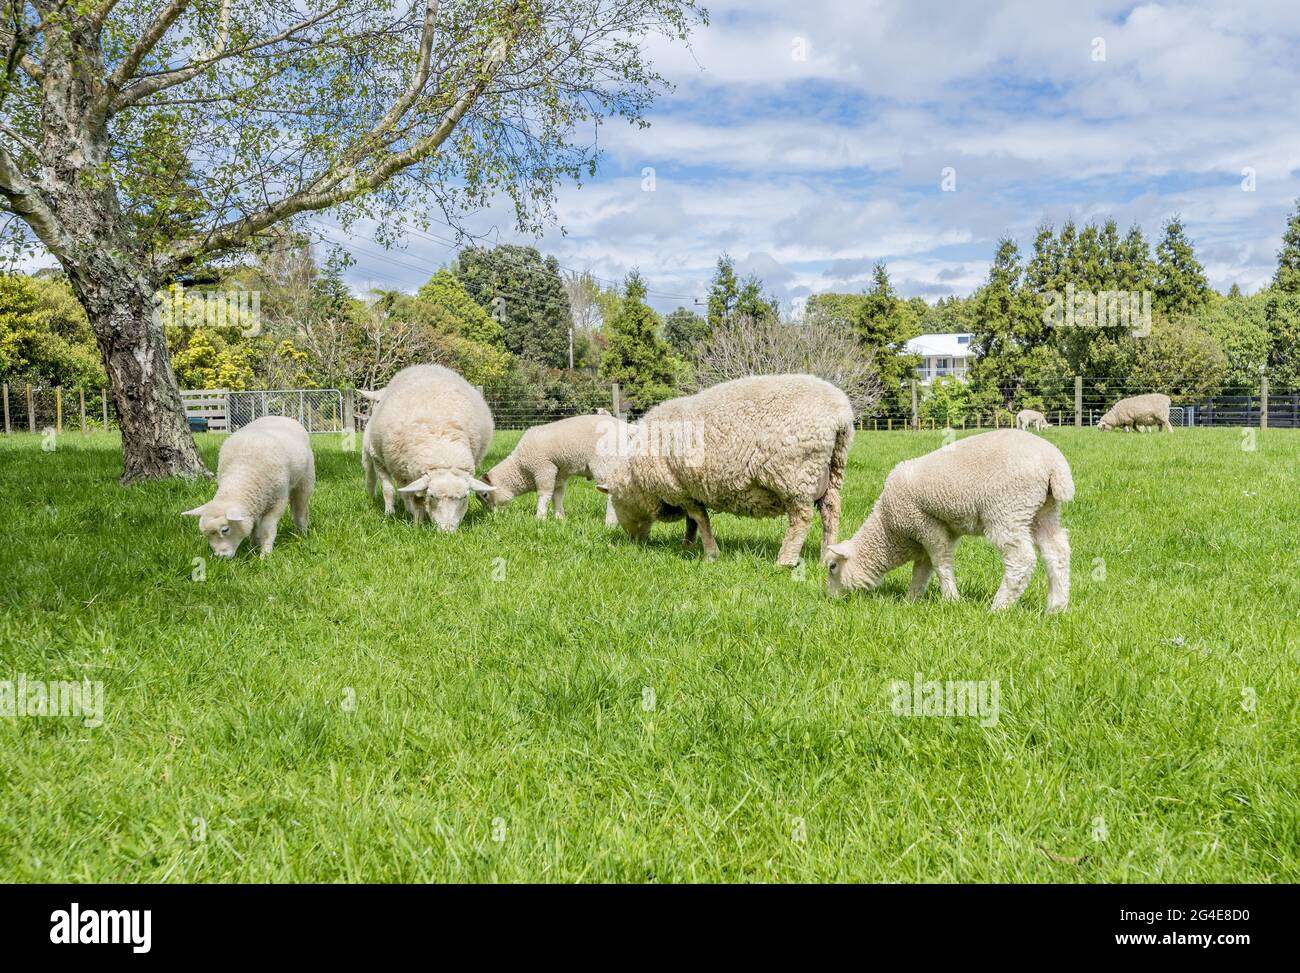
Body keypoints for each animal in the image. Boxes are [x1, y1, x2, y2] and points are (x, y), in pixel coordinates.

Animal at [182, 416, 314, 558]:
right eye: (205, 534)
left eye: (225, 530)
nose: (220, 557)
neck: (242, 471)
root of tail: (281, 417)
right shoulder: (254, 502)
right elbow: (254, 526)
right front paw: (254, 545)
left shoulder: (278, 502)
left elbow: (267, 529)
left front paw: (265, 554)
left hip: (305, 480)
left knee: (300, 509)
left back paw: (301, 533)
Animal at [362, 364, 495, 530]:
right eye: (432, 496)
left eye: (465, 497)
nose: (446, 532)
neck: (443, 452)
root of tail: (425, 365)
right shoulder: (391, 465)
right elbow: (399, 493)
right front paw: (417, 524)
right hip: (378, 457)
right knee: (378, 482)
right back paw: (386, 507)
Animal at [482, 412, 630, 523]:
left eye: (485, 495)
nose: (491, 518)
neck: (521, 468)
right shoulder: (559, 475)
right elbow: (557, 496)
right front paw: (559, 518)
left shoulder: (544, 469)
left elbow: (544, 494)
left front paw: (540, 518)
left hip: (604, 463)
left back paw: (610, 523)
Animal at [598, 374, 855, 567]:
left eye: (616, 503)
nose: (634, 543)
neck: (637, 478)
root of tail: (840, 414)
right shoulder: (690, 489)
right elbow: (692, 522)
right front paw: (688, 545)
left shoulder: (680, 490)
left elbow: (700, 520)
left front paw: (711, 554)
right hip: (832, 470)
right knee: (831, 512)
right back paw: (825, 558)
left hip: (795, 474)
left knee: (801, 519)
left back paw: (785, 561)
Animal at [826, 429, 1073, 612]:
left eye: (832, 567)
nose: (831, 599)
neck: (888, 529)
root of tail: (1055, 465)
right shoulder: (927, 536)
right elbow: (921, 570)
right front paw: (910, 601)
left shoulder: (927, 526)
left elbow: (940, 563)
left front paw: (951, 599)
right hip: (1042, 510)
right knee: (1057, 552)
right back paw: (1056, 607)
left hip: (1008, 510)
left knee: (1021, 559)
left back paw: (998, 607)